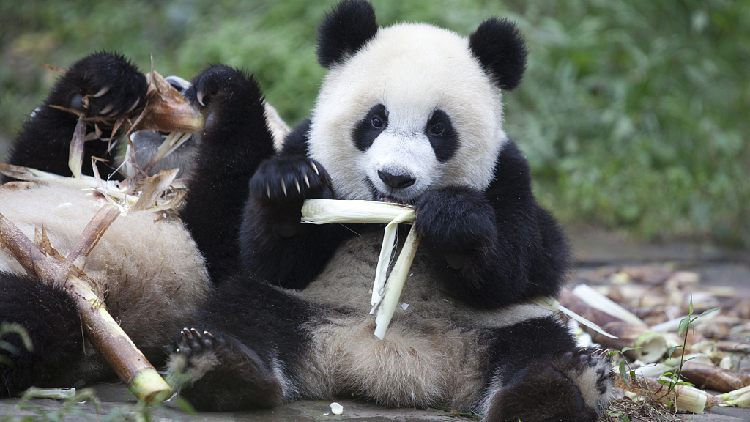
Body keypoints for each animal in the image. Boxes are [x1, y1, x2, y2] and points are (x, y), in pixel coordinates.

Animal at [162, 1, 614, 421]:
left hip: (491, 328)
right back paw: (220, 367)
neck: (384, 219)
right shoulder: (302, 144)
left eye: (438, 128)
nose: (395, 177)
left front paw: (452, 218)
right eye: (376, 120)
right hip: (301, 307)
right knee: (243, 308)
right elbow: (276, 263)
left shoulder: (509, 176)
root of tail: (373, 363)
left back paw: (557, 387)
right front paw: (289, 189)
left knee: (536, 342)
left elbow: (509, 271)